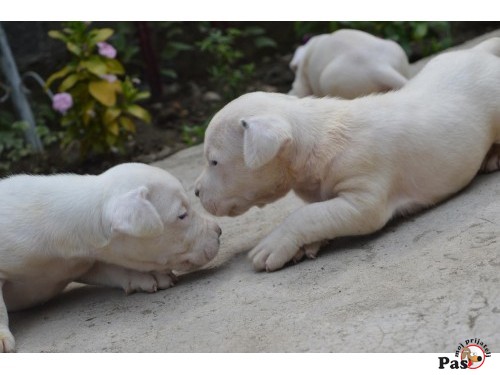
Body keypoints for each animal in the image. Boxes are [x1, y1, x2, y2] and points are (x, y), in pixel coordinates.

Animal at [0, 164, 221, 352]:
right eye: (182, 215)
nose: (219, 231)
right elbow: (0, 307)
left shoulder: (86, 261)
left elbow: (114, 269)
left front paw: (152, 277)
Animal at [195, 37, 500, 274]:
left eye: (214, 161)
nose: (196, 192)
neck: (315, 139)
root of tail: (479, 51)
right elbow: (316, 214)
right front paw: (304, 247)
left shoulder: (363, 201)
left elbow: (308, 216)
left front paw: (272, 246)